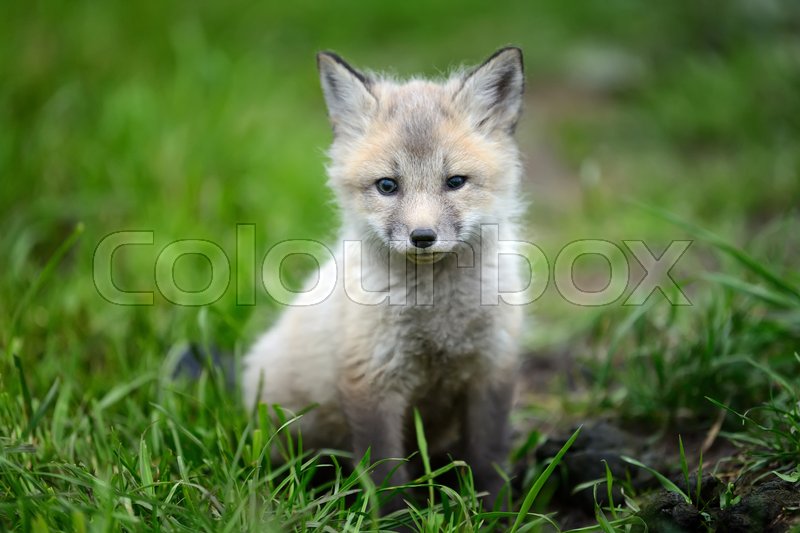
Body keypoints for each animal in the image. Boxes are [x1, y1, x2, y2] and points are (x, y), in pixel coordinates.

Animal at [242, 47, 527, 511]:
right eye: (388, 185)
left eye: (455, 182)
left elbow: (489, 458)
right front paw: (396, 519)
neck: (437, 315)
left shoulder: (491, 369)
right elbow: (387, 473)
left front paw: (495, 514)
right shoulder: (372, 378)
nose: (423, 237)